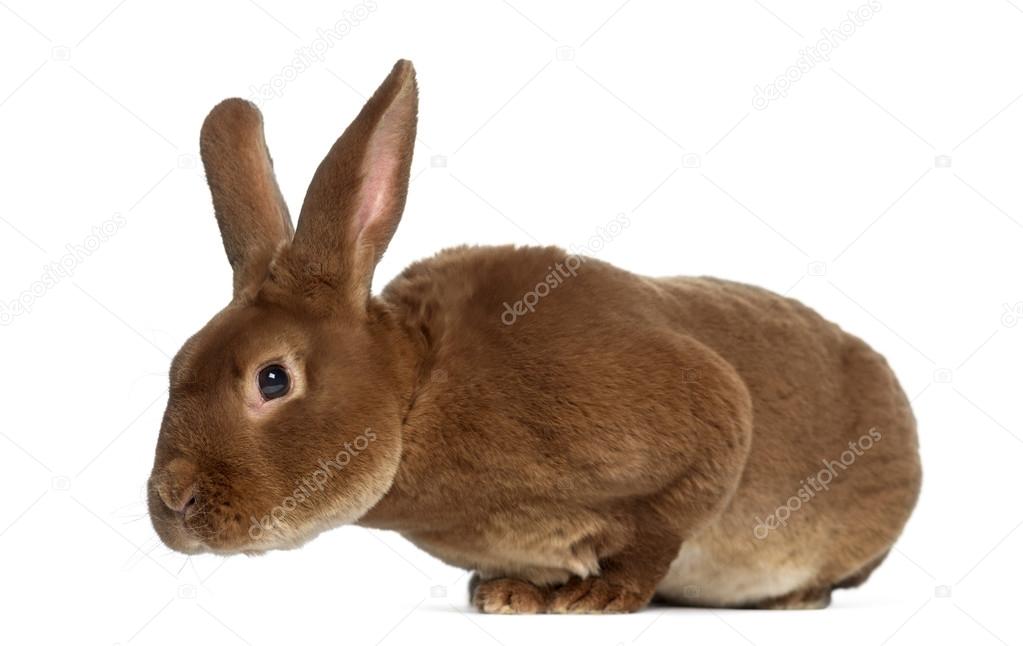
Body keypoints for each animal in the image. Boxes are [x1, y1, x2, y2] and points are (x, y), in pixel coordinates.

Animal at [148, 59, 921, 614]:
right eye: (176, 365)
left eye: (272, 378)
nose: (172, 501)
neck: (417, 390)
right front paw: (507, 595)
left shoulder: (708, 422)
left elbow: (663, 527)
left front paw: (600, 598)